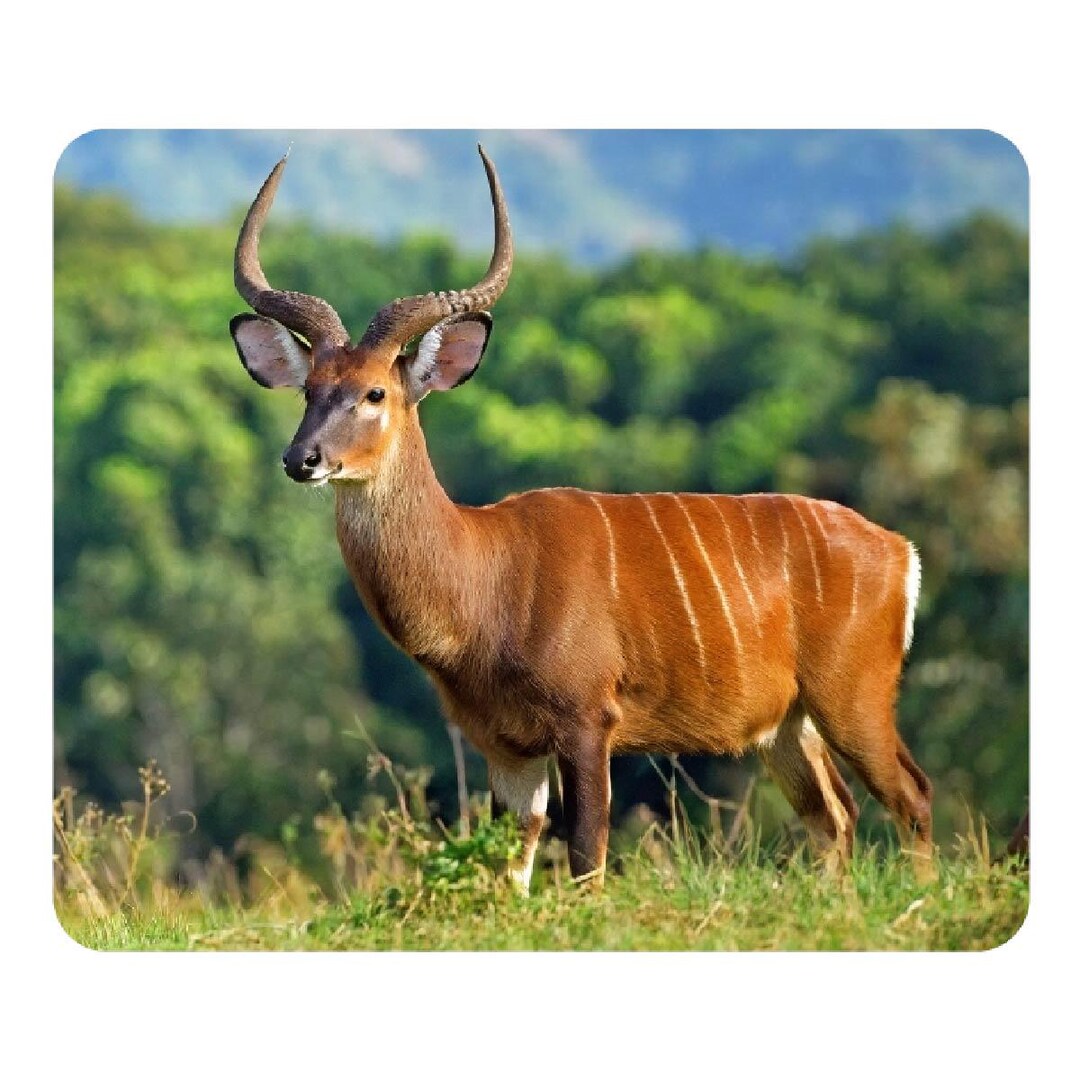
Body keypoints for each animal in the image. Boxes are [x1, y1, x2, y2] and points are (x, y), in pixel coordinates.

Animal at [229, 144, 935, 892]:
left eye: (375, 393)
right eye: (309, 389)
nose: (301, 458)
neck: (486, 582)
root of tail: (901, 552)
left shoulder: (588, 717)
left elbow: (586, 854)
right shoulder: (505, 744)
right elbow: (513, 862)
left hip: (852, 695)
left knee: (910, 793)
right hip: (787, 724)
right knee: (837, 815)